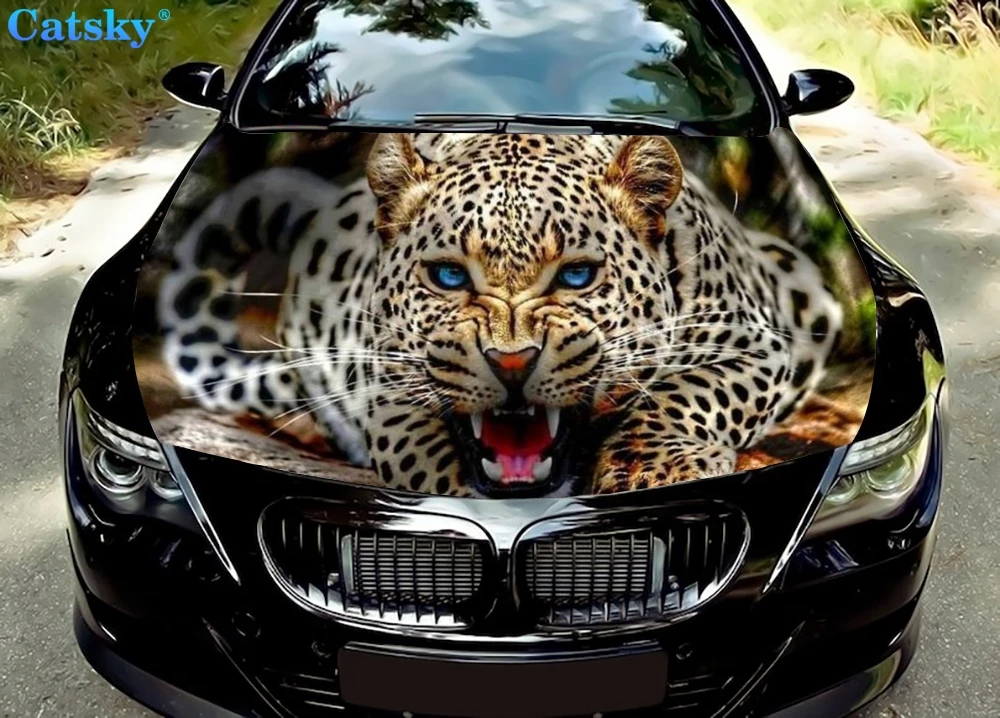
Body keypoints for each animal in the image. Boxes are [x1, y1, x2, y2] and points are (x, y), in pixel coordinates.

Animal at [156, 132, 843, 498]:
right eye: (449, 276)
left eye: (576, 276)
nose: (511, 363)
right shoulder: (378, 375)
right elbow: (421, 448)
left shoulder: (758, 340)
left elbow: (690, 392)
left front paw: (650, 467)